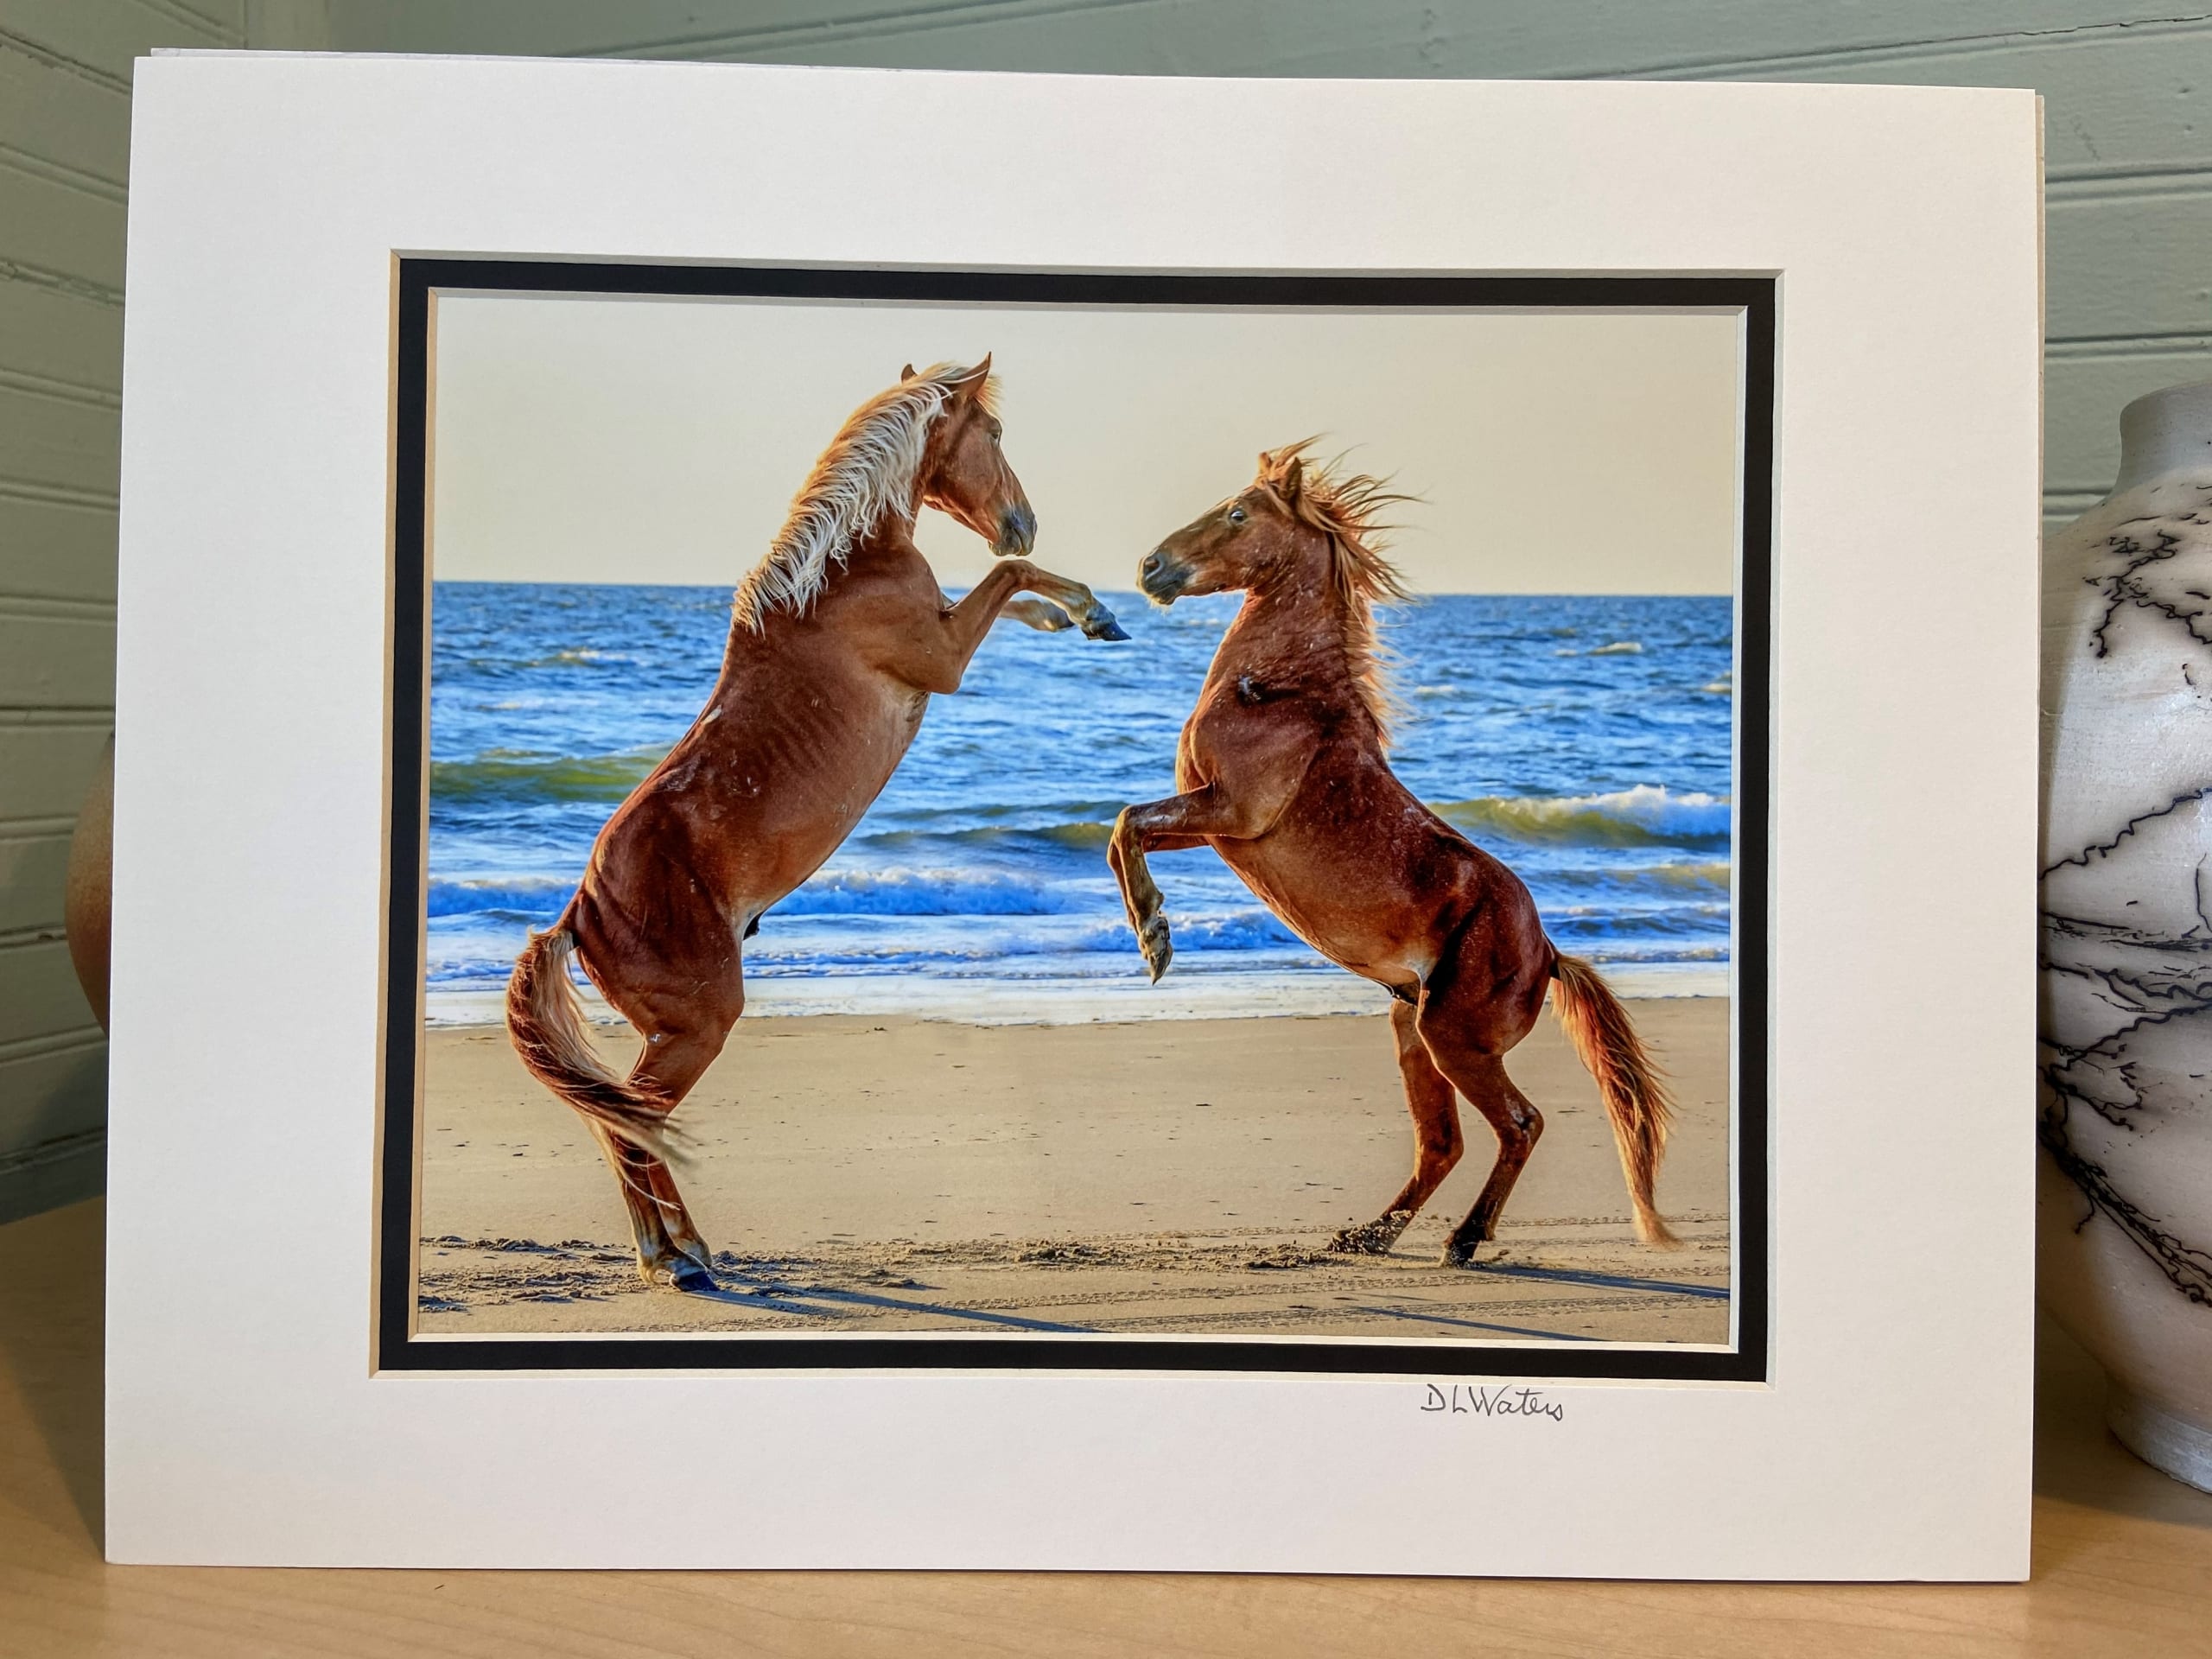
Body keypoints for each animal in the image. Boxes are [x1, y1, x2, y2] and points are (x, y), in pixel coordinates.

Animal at [505, 358, 1129, 1292]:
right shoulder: (943, 655)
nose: (1023, 514)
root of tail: (578, 914)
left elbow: (1015, 588)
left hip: (671, 1034)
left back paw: (676, 1254)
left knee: (622, 1125)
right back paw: (681, 1259)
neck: (840, 571)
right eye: (994, 433)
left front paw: (1073, 616)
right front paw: (1092, 611)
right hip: (696, 1028)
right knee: (634, 1127)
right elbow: (1013, 575)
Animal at [1108, 442, 1680, 1267]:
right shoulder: (1212, 825)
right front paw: (1152, 936)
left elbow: (1125, 824)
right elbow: (1125, 830)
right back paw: (1367, 1235)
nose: (1151, 567)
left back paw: (1463, 1241)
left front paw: (1155, 940)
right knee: (1442, 1143)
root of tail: (1548, 953)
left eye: (1239, 513)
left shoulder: (1231, 813)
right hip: (1412, 1031)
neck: (1280, 690)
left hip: (1452, 1039)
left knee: (1520, 1124)